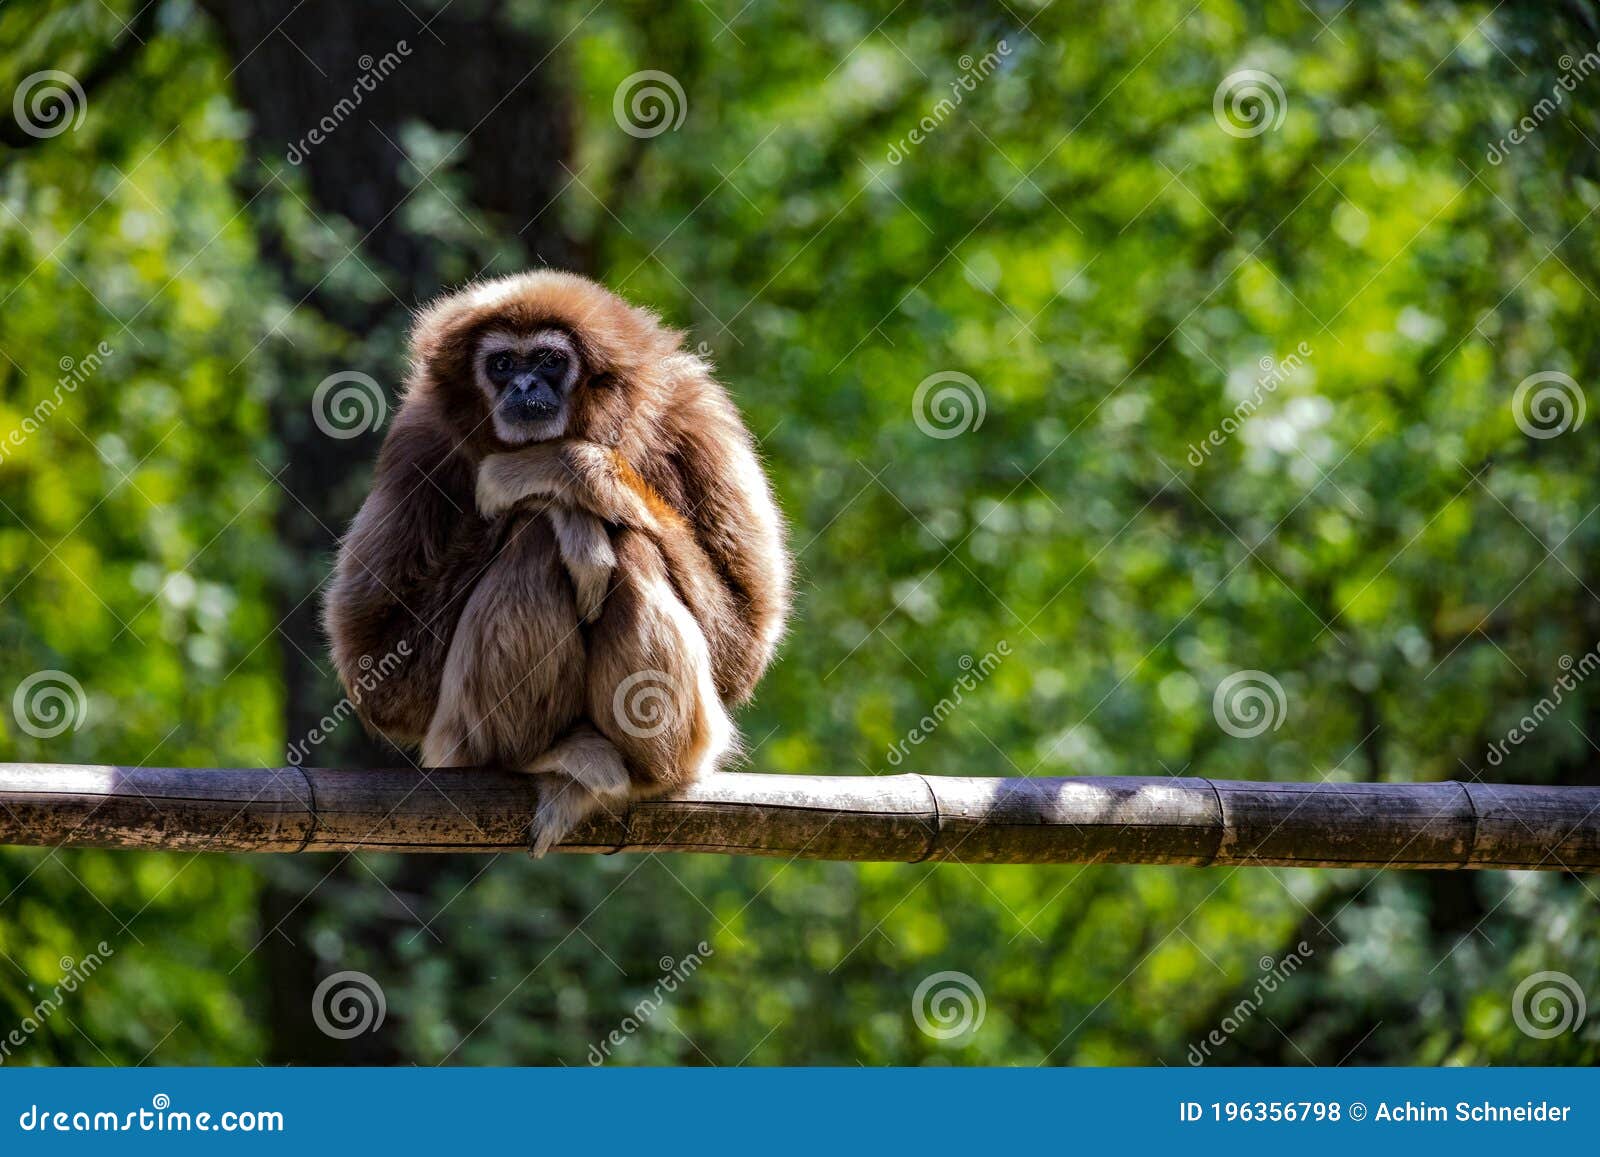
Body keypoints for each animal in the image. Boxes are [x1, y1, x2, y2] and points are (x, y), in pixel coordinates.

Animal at [322, 271, 790, 853]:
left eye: (549, 361)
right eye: (502, 364)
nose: (523, 387)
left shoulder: (696, 412)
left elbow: (744, 642)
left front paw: (561, 469)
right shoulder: (418, 440)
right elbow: (377, 669)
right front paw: (569, 516)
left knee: (630, 547)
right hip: (457, 739)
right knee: (536, 537)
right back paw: (537, 755)